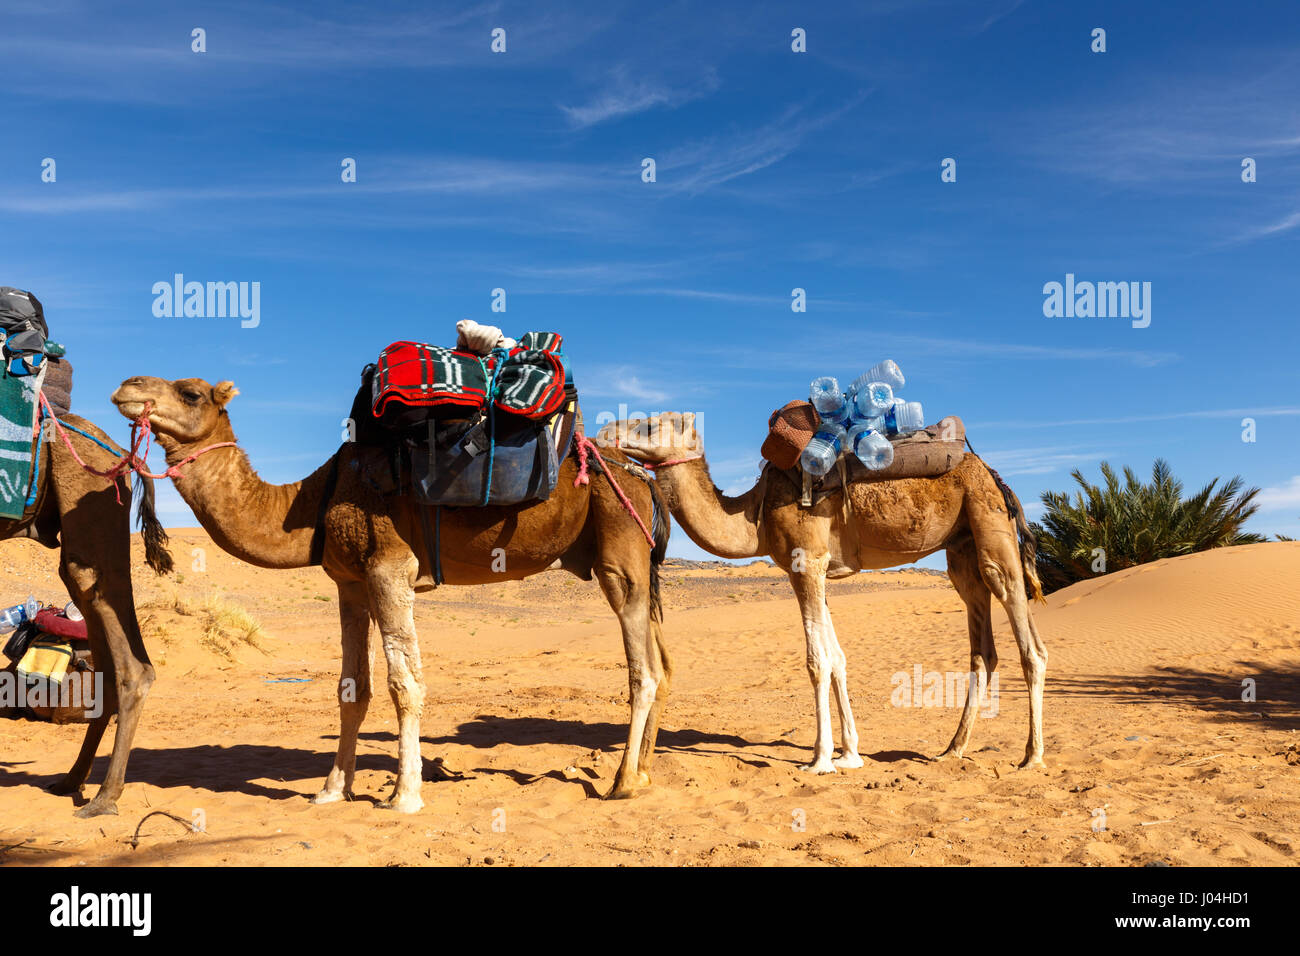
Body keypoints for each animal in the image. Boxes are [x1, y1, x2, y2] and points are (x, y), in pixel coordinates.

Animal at [111, 376, 670, 812]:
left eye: (190, 393)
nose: (126, 387)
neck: (313, 503)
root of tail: (644, 478)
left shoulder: (389, 567)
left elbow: (406, 683)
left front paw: (405, 795)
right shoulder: (350, 583)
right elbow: (351, 688)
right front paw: (332, 789)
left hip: (619, 543)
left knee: (642, 670)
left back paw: (622, 782)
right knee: (659, 664)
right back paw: (643, 773)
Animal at [599, 412, 1048, 774]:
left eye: (650, 425)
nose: (605, 432)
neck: (755, 515)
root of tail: (995, 476)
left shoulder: (806, 562)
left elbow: (817, 661)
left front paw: (819, 760)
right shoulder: (822, 570)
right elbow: (838, 659)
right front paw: (849, 754)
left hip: (990, 529)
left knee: (1030, 642)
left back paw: (1031, 756)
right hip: (961, 552)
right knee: (982, 648)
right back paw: (952, 750)